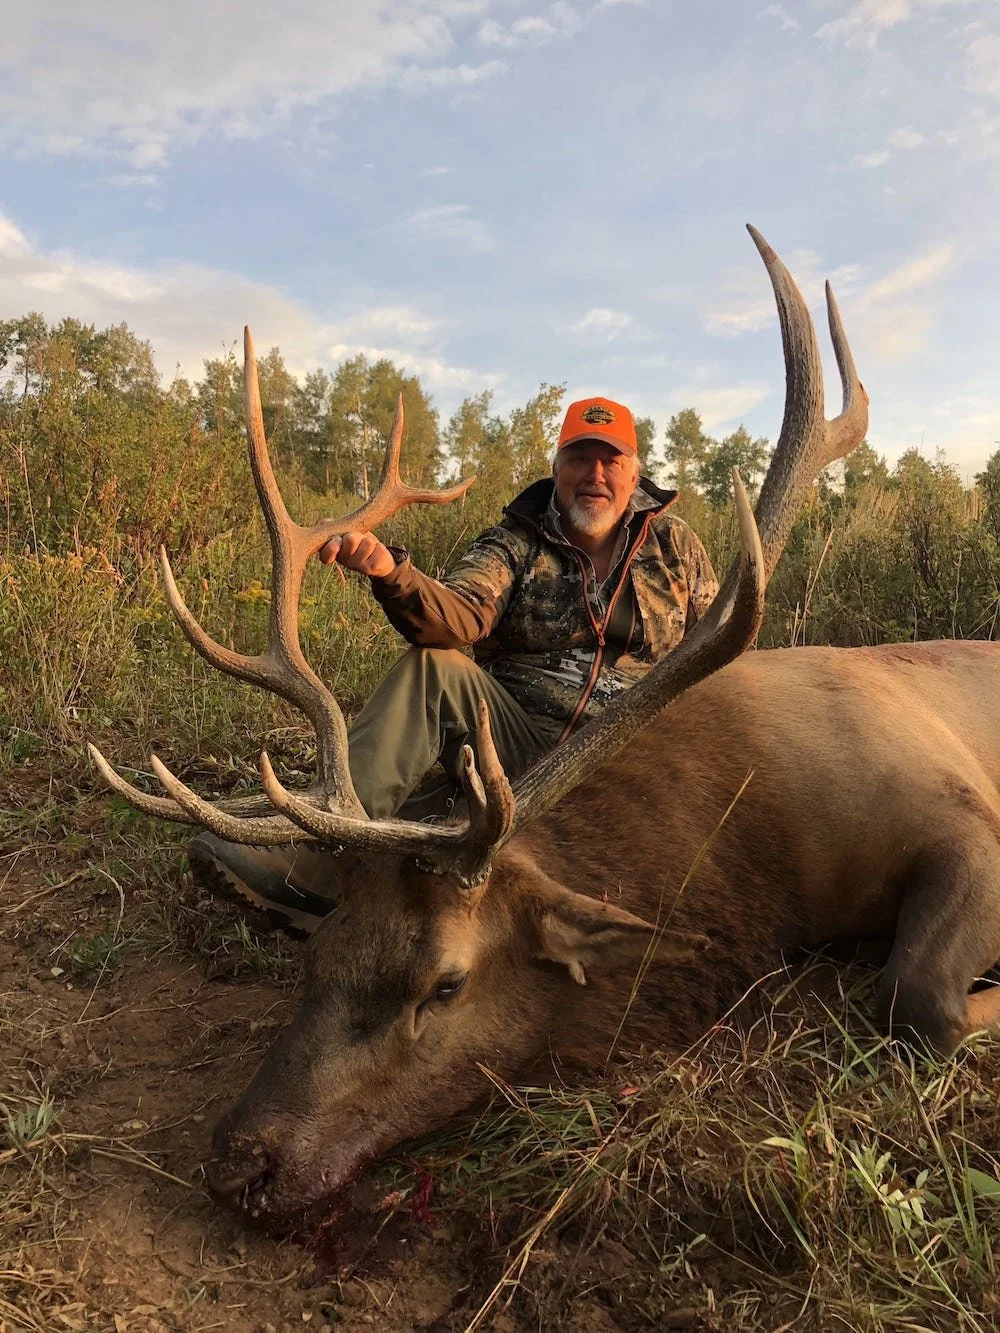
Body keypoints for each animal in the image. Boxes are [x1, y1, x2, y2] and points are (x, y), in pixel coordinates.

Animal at [89, 226, 1000, 1229]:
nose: (240, 1162)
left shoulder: (957, 815)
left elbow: (919, 998)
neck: (760, 858)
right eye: (318, 954)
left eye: (444, 982)